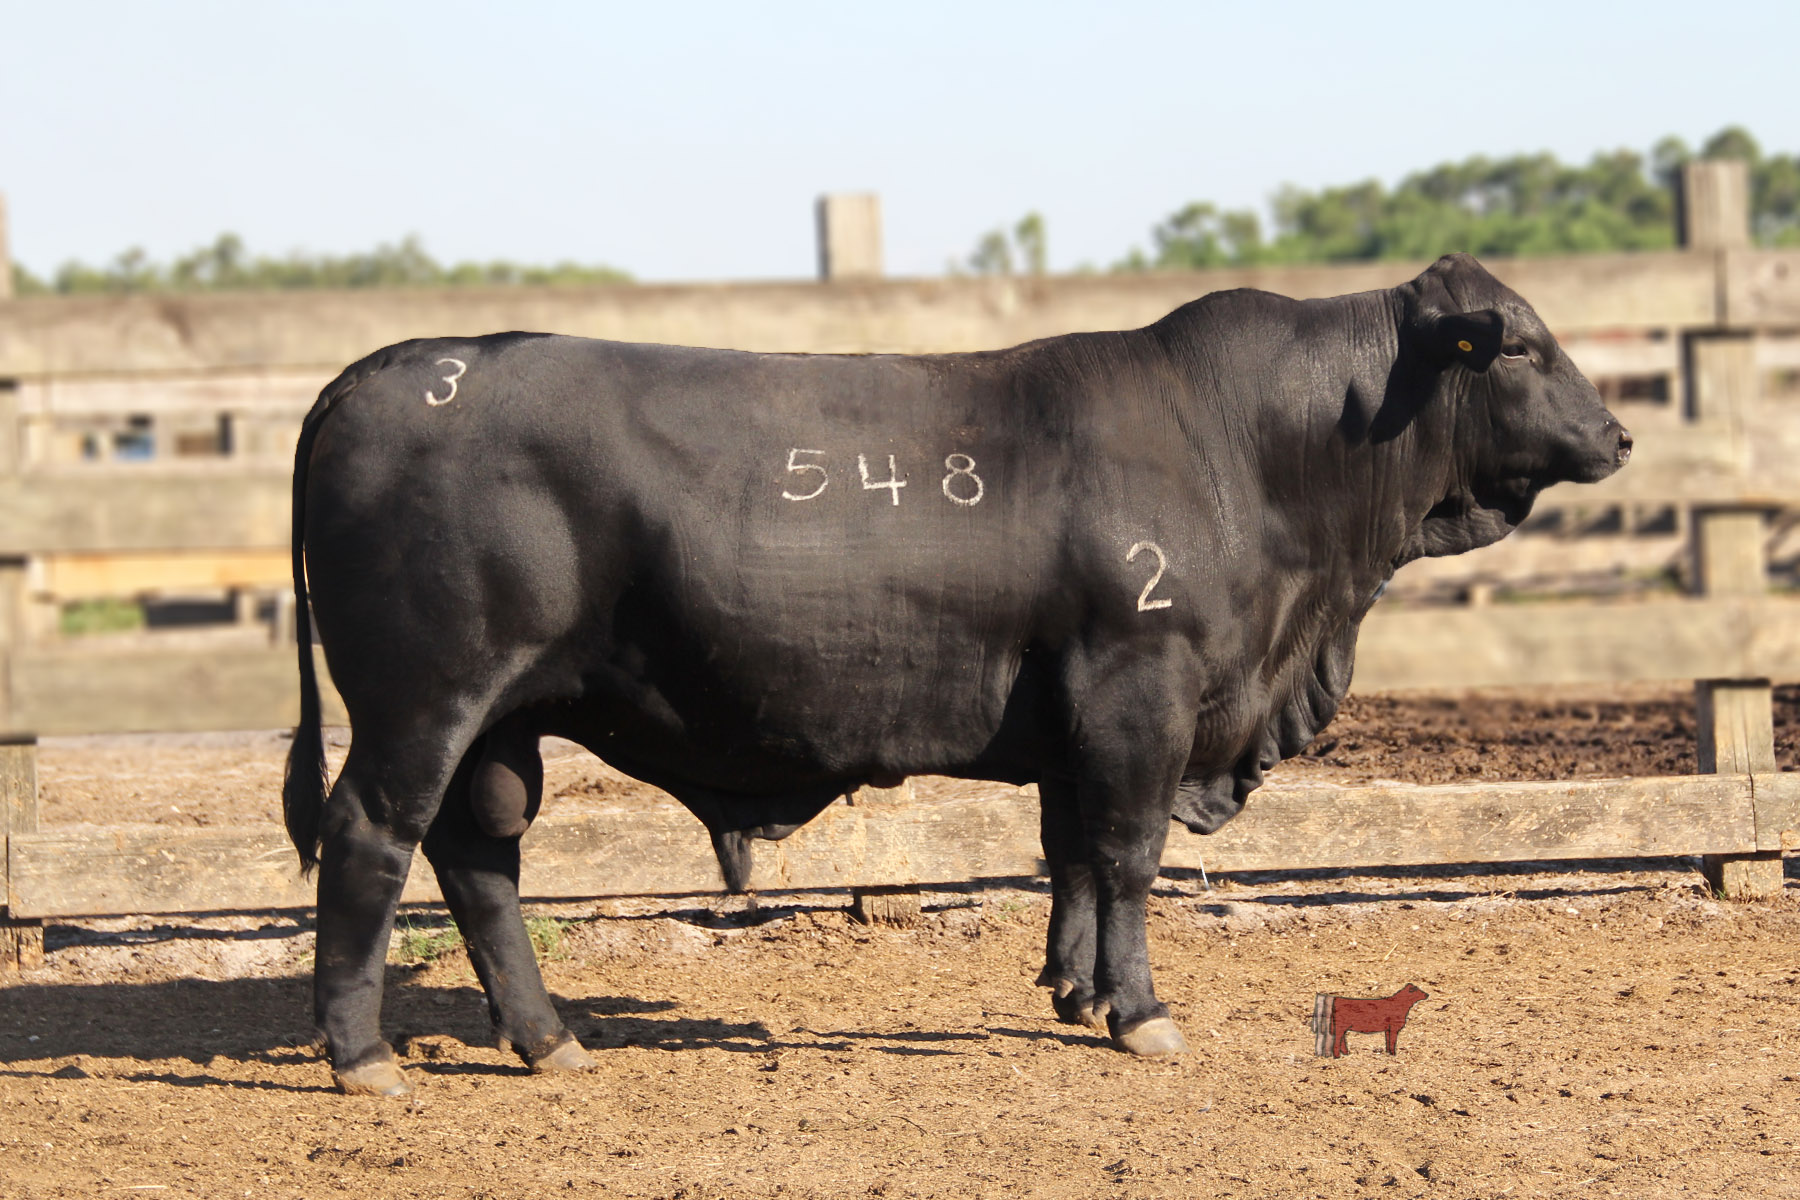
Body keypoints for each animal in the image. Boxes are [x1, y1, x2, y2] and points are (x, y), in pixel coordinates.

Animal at [283, 253, 1630, 1095]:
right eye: (1517, 345)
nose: (1619, 434)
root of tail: (383, 368)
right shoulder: (1140, 689)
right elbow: (1128, 856)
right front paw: (1142, 1014)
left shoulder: (1078, 714)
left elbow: (1070, 853)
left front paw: (1075, 992)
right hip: (422, 699)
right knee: (372, 837)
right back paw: (363, 1057)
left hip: (500, 717)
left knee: (479, 858)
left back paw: (546, 1039)